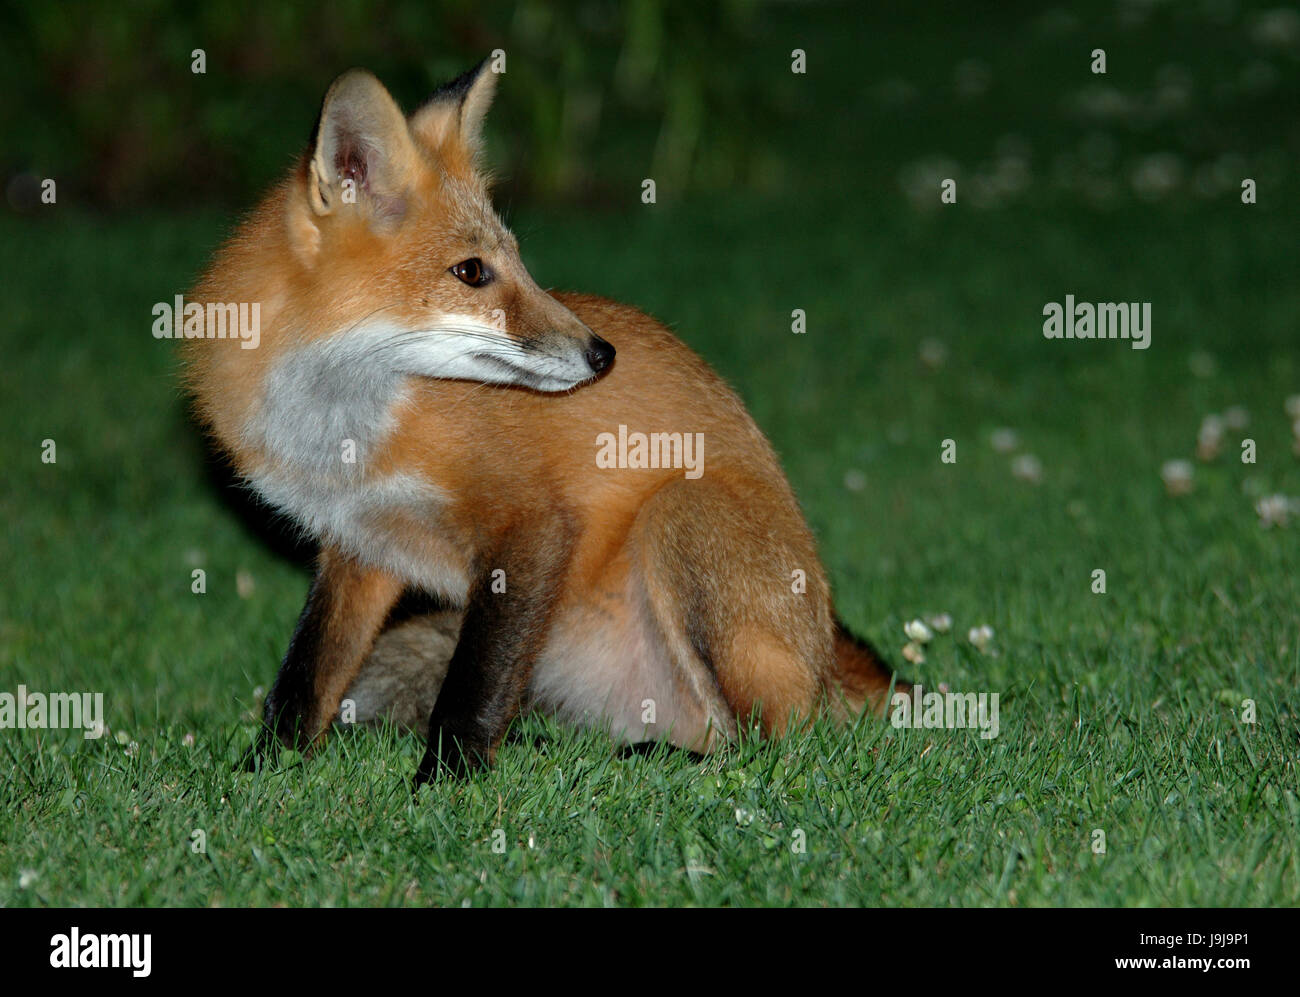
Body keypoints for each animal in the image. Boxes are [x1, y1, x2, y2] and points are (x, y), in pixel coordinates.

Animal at [184, 61, 907, 784]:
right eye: (471, 271)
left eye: (518, 263)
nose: (602, 353)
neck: (344, 436)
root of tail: (830, 651)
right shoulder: (360, 547)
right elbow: (304, 678)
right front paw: (263, 772)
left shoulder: (531, 522)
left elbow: (475, 682)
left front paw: (446, 781)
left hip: (678, 516)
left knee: (766, 746)